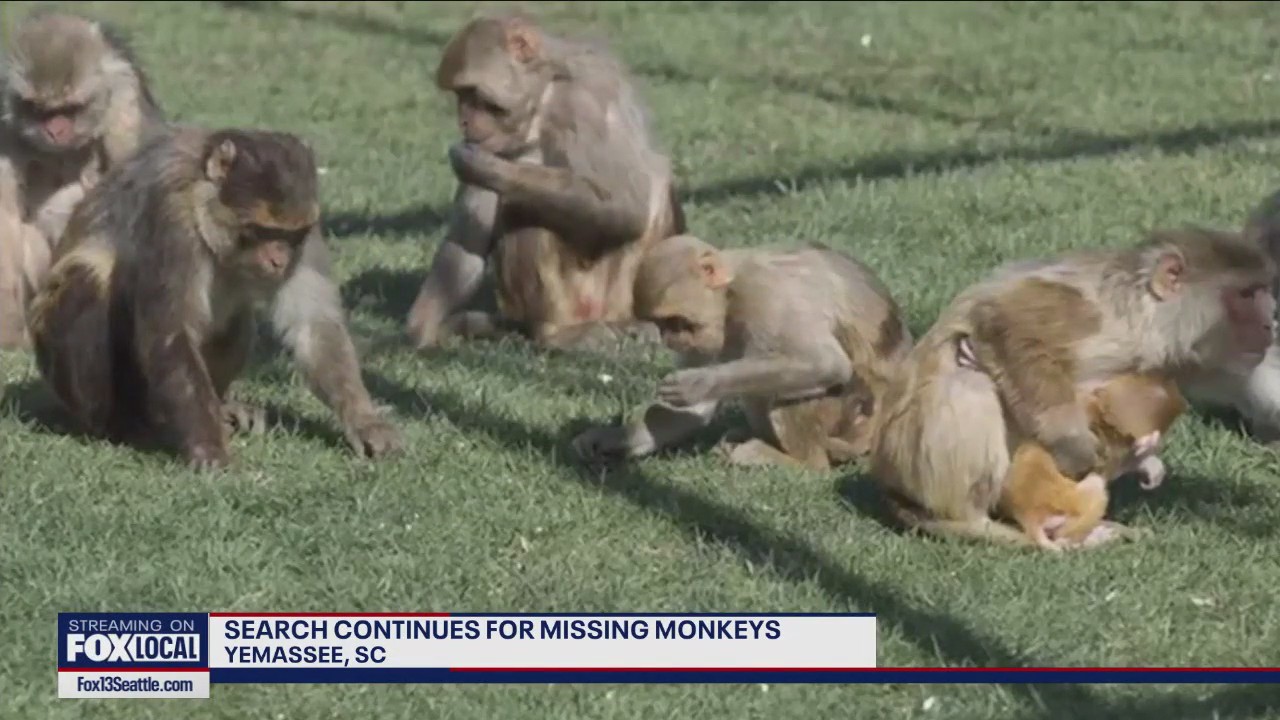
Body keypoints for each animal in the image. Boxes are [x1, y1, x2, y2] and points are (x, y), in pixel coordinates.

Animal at [0, 11, 165, 349]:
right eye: (38, 109)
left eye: (70, 109)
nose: (55, 130)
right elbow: (5, 217)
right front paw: (8, 330)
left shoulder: (124, 108)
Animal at [27, 126, 402, 469]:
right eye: (262, 231)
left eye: (290, 235)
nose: (279, 260)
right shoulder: (172, 219)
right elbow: (171, 334)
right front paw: (208, 447)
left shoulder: (308, 230)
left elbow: (315, 326)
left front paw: (364, 421)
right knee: (86, 278)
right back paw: (124, 425)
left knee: (237, 322)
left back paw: (222, 407)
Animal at [405, 14, 686, 353]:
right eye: (460, 96)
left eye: (473, 94)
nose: (464, 121)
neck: (543, 97)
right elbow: (467, 238)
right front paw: (422, 328)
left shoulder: (585, 102)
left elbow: (627, 207)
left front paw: (492, 170)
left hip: (609, 294)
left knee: (525, 212)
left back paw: (555, 334)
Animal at [571, 234, 913, 471]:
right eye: (662, 325)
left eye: (678, 323)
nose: (670, 340)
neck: (730, 298)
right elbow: (692, 412)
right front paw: (613, 438)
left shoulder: (766, 294)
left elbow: (825, 363)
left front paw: (701, 383)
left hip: (850, 417)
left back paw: (800, 462)